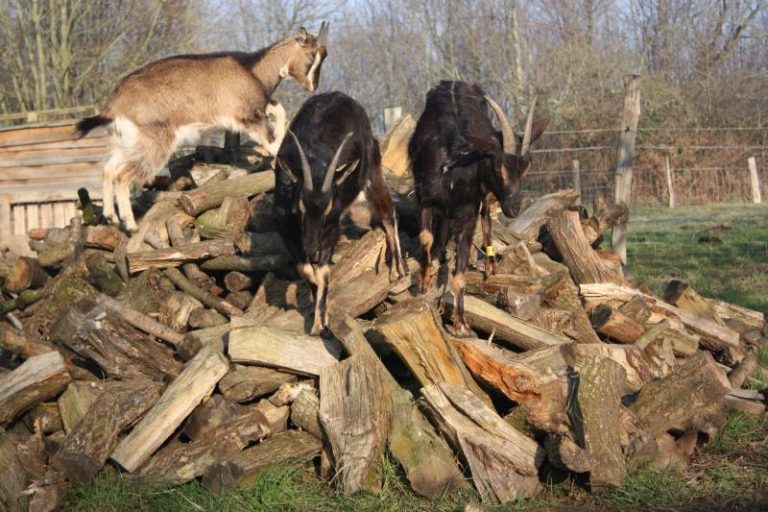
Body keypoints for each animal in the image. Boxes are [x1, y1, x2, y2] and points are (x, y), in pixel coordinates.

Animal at [74, 23, 329, 232]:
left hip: (126, 144)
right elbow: (273, 143)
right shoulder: (249, 116)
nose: (312, 87)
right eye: (310, 56)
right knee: (123, 177)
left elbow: (278, 111)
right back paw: (131, 225)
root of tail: (114, 106)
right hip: (154, 144)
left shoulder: (251, 111)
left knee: (108, 169)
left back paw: (110, 217)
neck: (252, 69)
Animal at [274, 91, 406, 335]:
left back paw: (397, 270)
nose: (311, 248)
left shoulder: (332, 225)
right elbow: (305, 270)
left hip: (372, 171)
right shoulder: (285, 226)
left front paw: (319, 323)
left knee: (388, 211)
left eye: (328, 210)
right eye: (300, 206)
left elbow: (323, 272)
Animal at [408, 81, 548, 336]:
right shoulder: (423, 197)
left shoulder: (468, 216)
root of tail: (453, 82)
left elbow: (461, 275)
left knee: (487, 219)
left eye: (527, 168)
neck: (453, 171)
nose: (513, 208)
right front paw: (423, 281)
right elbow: (425, 237)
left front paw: (461, 324)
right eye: (497, 166)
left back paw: (490, 264)